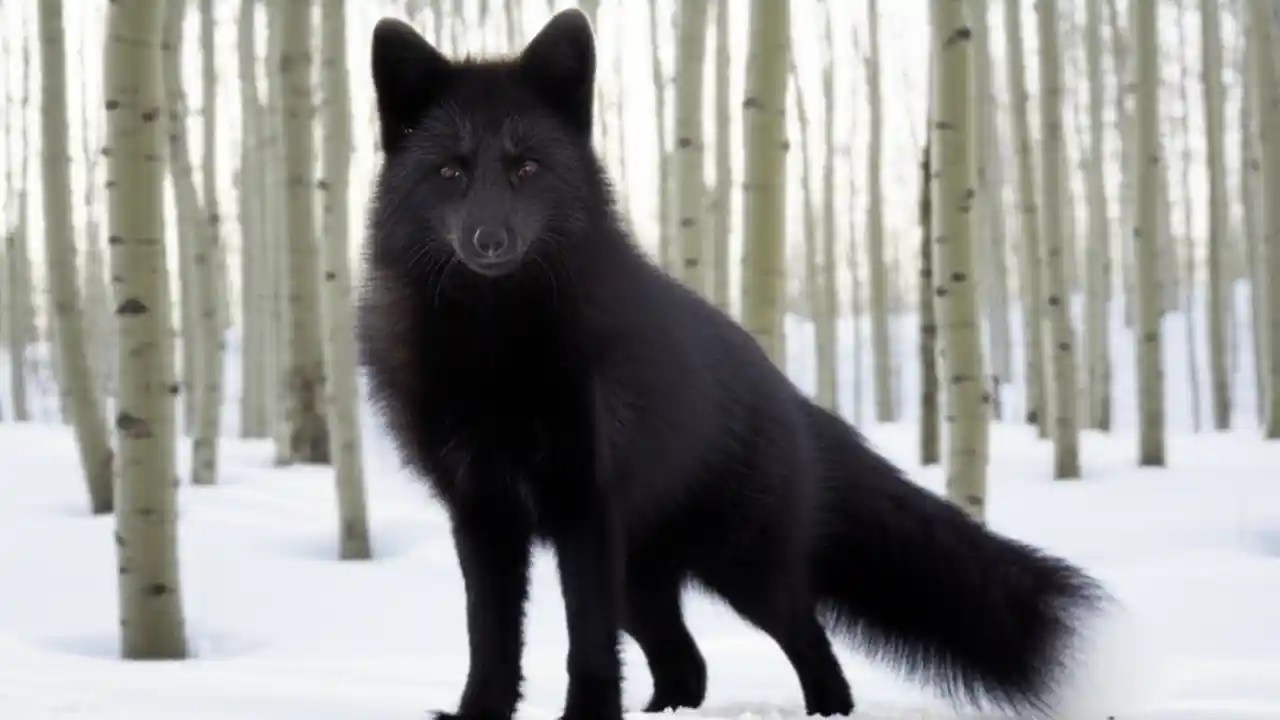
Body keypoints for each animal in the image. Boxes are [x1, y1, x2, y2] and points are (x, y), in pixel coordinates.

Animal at [358, 9, 1118, 720]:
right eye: (451, 172)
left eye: (525, 169)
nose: (489, 238)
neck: (495, 349)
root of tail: (791, 397)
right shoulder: (480, 513)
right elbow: (490, 640)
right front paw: (478, 713)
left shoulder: (585, 506)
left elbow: (586, 646)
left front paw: (586, 717)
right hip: (644, 577)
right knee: (686, 664)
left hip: (741, 569)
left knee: (810, 646)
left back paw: (823, 709)